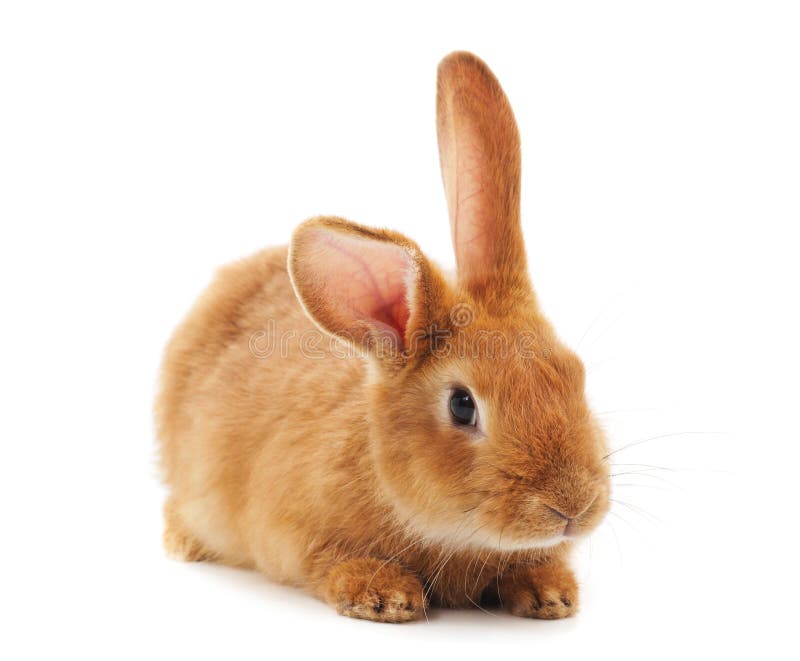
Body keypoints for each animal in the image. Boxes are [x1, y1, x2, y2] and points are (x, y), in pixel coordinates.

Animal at [156, 51, 611, 623]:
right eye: (462, 405)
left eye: (577, 375)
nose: (572, 506)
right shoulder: (297, 533)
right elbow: (329, 563)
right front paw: (385, 596)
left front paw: (550, 593)